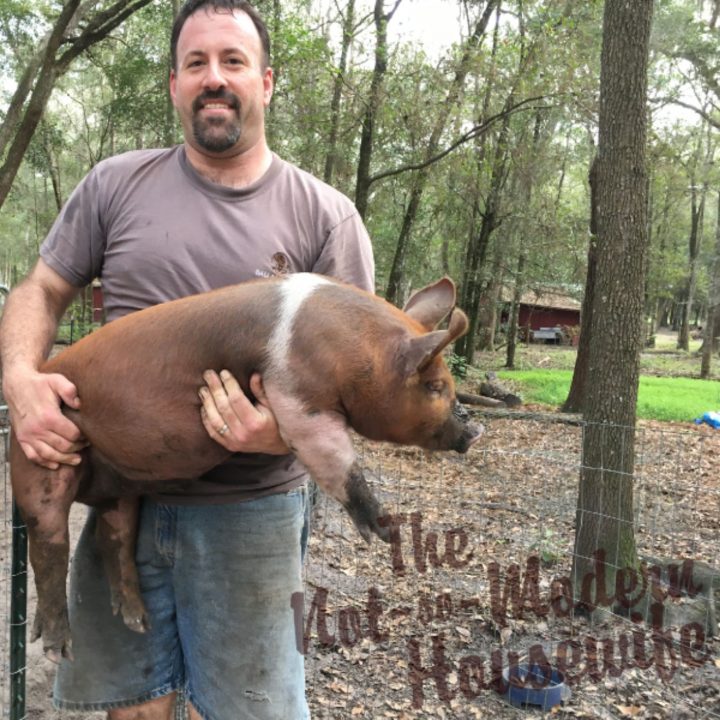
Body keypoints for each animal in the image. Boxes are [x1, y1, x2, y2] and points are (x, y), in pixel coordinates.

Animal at [9, 273, 483, 661]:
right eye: (436, 387)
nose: (474, 428)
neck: (353, 349)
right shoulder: (297, 396)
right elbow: (336, 459)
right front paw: (385, 533)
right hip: (38, 462)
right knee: (48, 547)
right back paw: (58, 648)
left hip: (123, 486)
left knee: (114, 539)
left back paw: (137, 621)